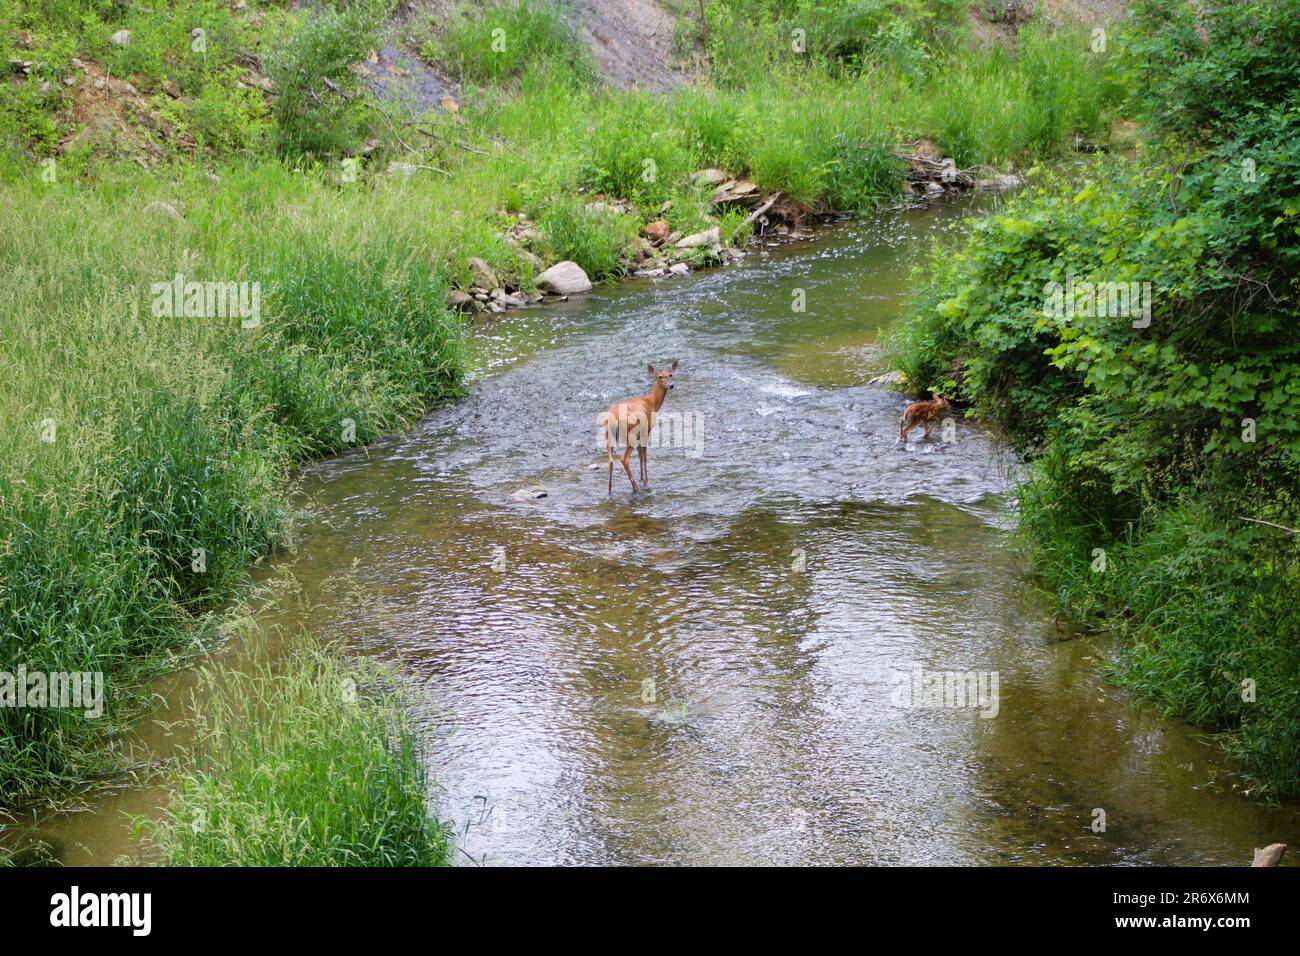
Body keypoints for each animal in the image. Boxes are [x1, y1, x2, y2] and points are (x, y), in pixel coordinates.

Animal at [603, 360, 678, 494]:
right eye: (660, 376)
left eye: (670, 375)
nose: (671, 385)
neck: (651, 403)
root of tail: (614, 419)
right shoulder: (646, 430)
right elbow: (644, 456)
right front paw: (646, 480)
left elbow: (639, 455)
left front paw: (642, 477)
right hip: (631, 434)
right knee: (624, 458)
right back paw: (635, 487)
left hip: (608, 436)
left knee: (611, 460)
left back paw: (610, 490)